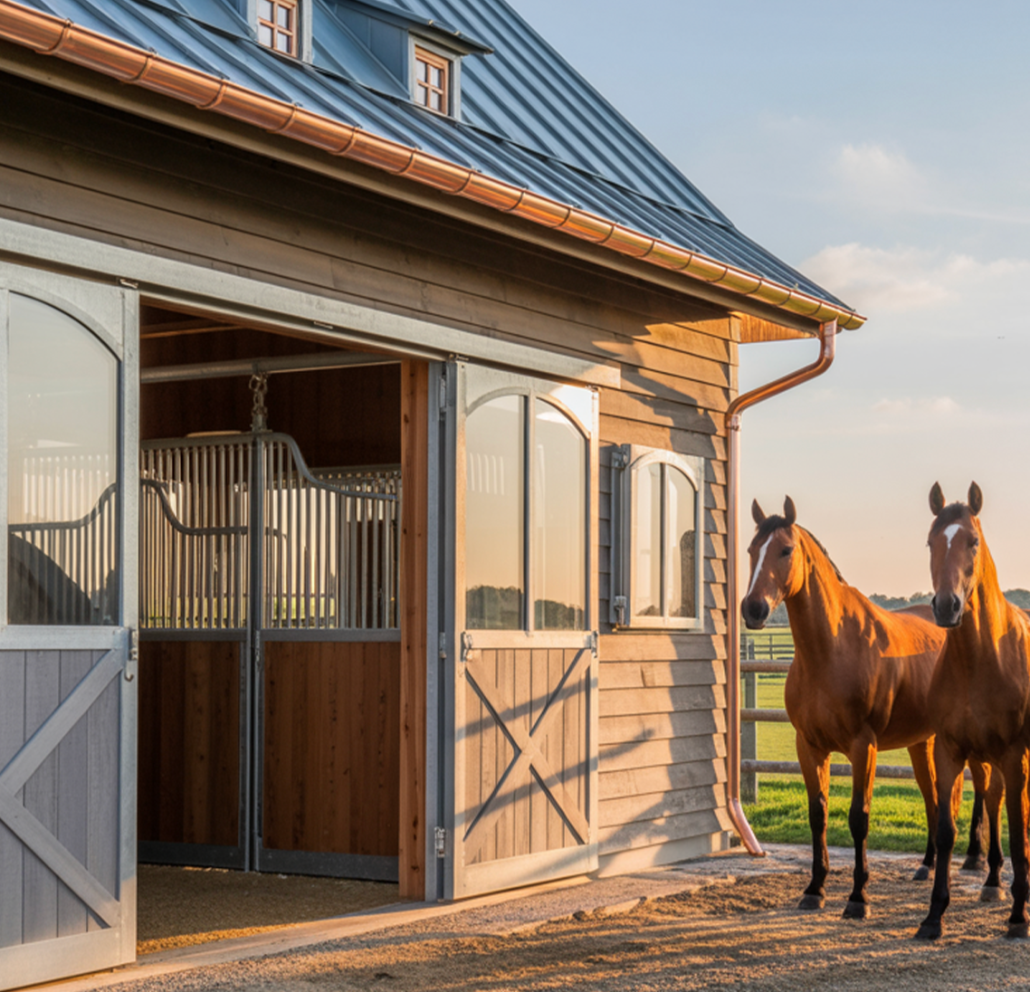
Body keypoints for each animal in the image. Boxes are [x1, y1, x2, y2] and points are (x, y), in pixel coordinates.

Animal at [742, 496, 1000, 919]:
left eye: (785, 550)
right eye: (751, 550)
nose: (753, 609)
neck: (831, 650)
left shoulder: (864, 746)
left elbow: (858, 818)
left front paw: (857, 897)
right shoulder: (809, 746)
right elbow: (818, 814)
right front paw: (815, 888)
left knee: (986, 792)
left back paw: (982, 866)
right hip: (921, 743)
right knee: (934, 799)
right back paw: (928, 867)